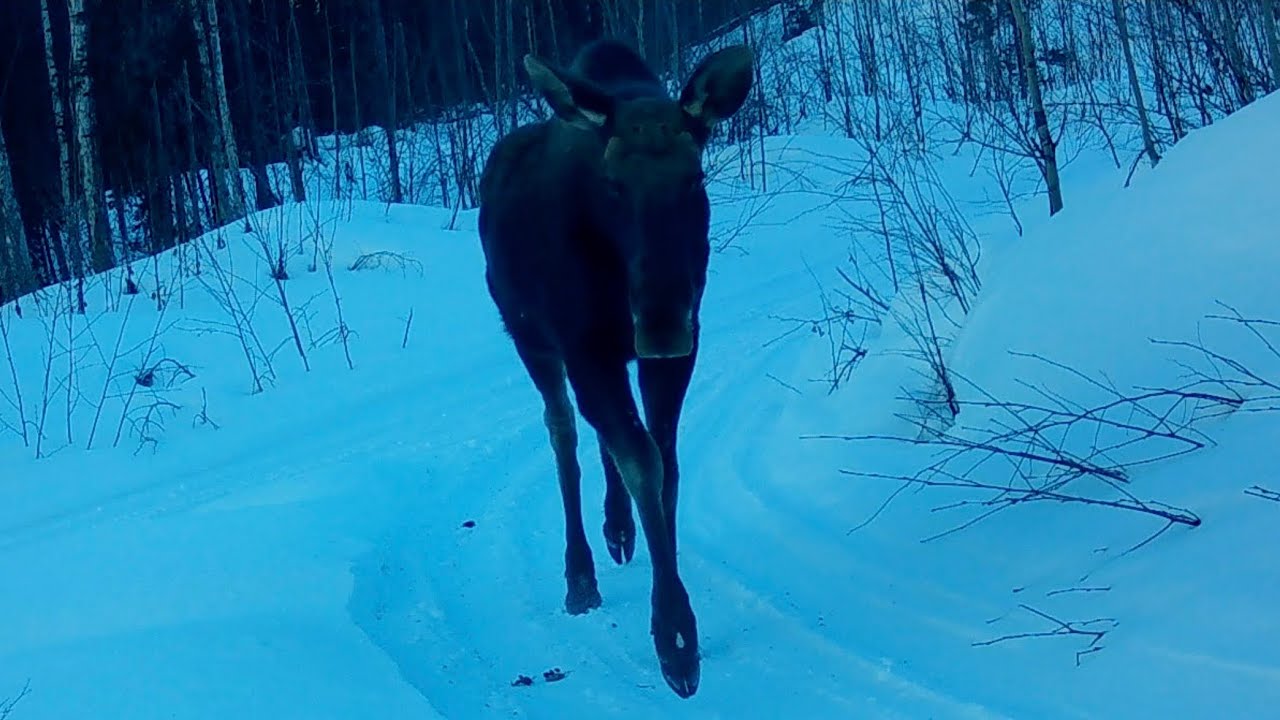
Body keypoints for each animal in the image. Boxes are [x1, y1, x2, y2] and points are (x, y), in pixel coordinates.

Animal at [475, 37, 754, 698]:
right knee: (564, 433)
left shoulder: (676, 351)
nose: (659, 323)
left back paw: (619, 529)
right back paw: (579, 574)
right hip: (533, 344)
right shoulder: (582, 347)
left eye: (695, 176)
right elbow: (641, 459)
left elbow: (662, 460)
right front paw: (676, 638)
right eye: (611, 182)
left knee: (606, 436)